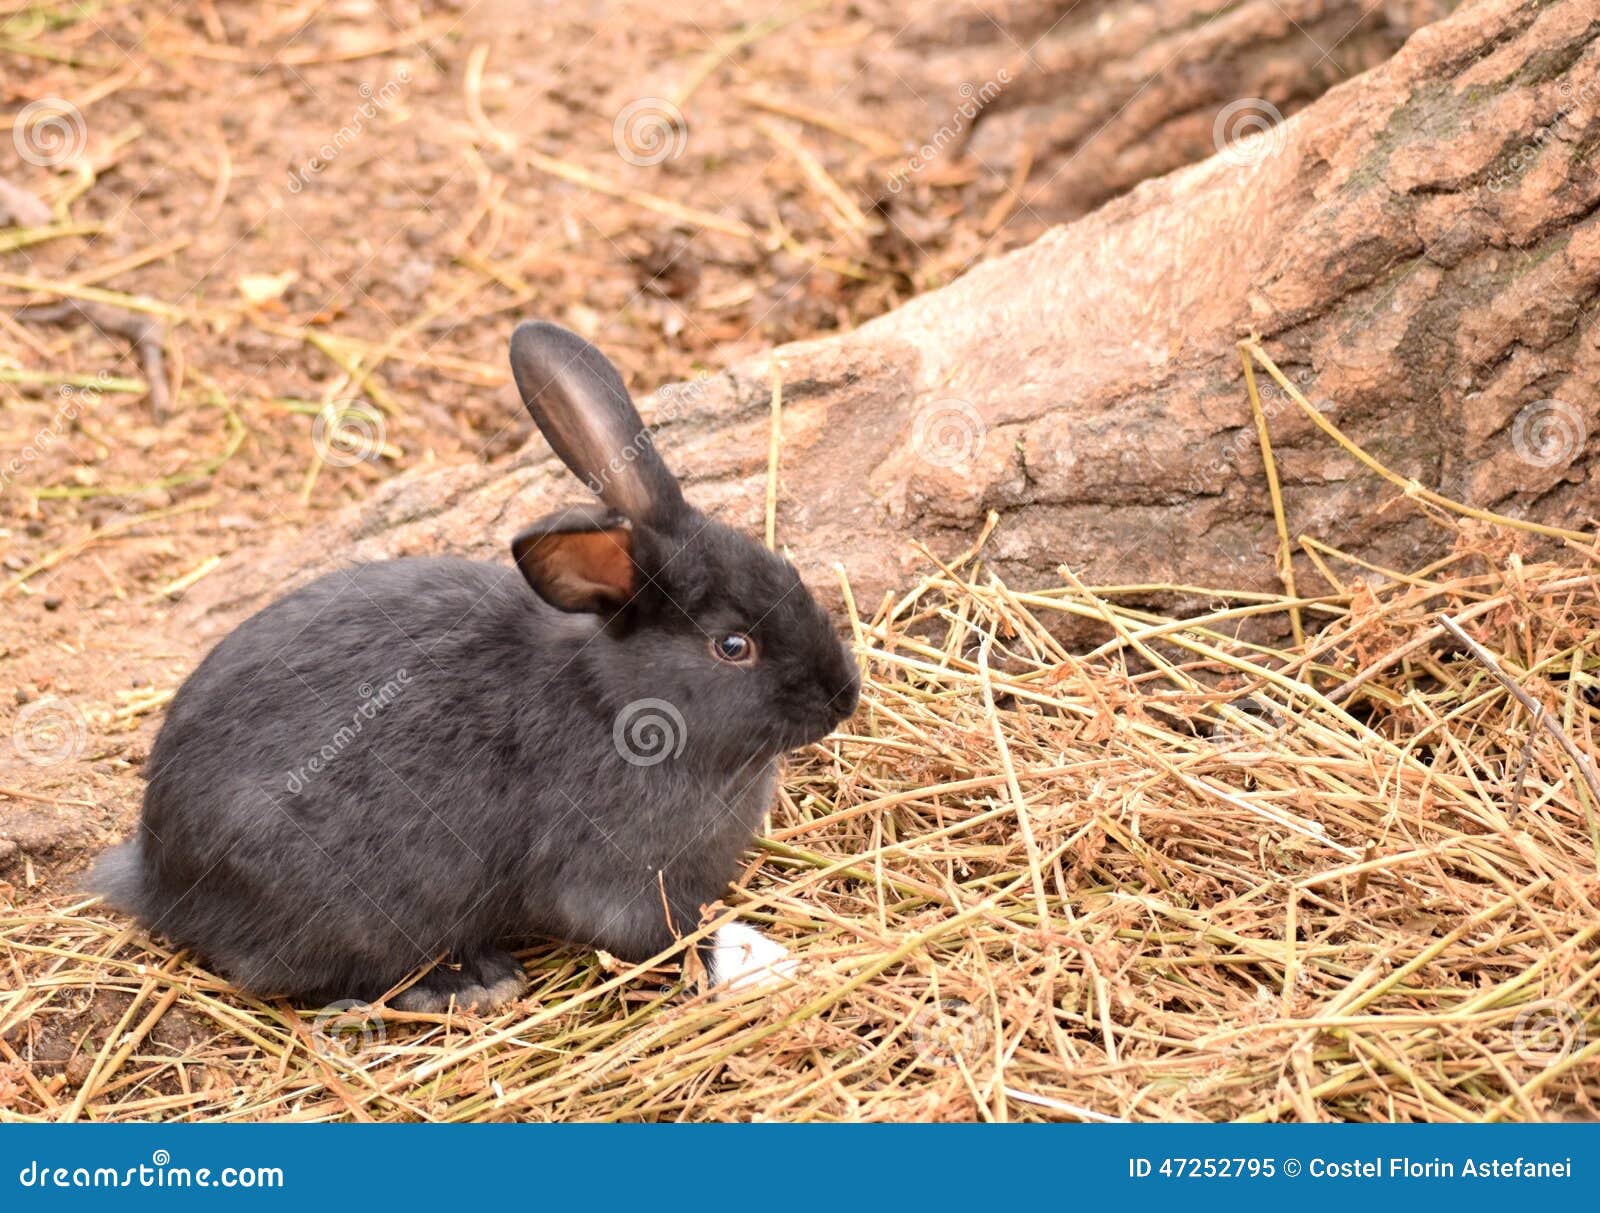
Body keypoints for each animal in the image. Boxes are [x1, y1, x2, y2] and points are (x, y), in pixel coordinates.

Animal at [90, 320, 860, 1013]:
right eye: (733, 647)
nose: (844, 697)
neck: (617, 701)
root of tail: (158, 876)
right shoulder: (612, 882)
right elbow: (669, 935)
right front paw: (765, 960)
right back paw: (467, 982)